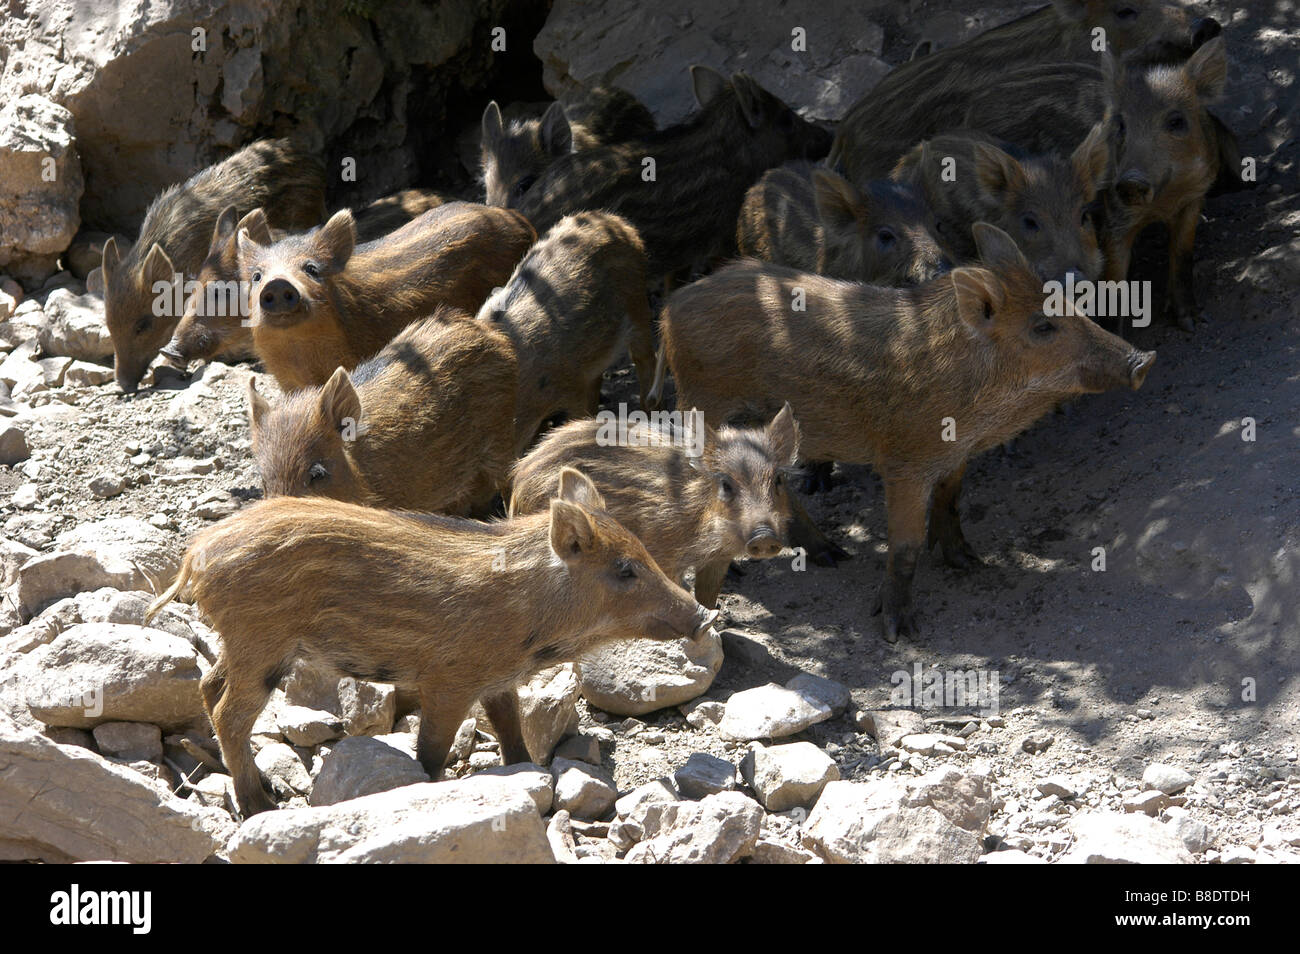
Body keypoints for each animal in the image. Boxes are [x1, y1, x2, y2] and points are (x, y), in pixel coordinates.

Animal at [145, 469, 718, 815]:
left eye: (642, 551)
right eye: (624, 569)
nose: (704, 616)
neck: (530, 609)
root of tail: (195, 557)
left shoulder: (498, 682)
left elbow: (513, 739)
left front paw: (529, 778)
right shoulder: (448, 682)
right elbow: (432, 753)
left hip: (244, 647)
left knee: (207, 687)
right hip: (261, 645)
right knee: (229, 713)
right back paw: (260, 807)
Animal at [509, 404, 801, 607]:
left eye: (778, 479)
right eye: (726, 484)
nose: (764, 536)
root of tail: (518, 478)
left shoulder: (718, 559)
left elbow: (707, 599)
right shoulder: (664, 557)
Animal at [660, 224, 1156, 642]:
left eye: (1069, 305)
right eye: (1043, 325)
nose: (1143, 360)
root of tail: (670, 308)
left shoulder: (956, 455)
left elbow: (951, 502)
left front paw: (969, 563)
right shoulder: (904, 463)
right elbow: (905, 545)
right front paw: (899, 632)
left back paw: (834, 553)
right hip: (704, 408)